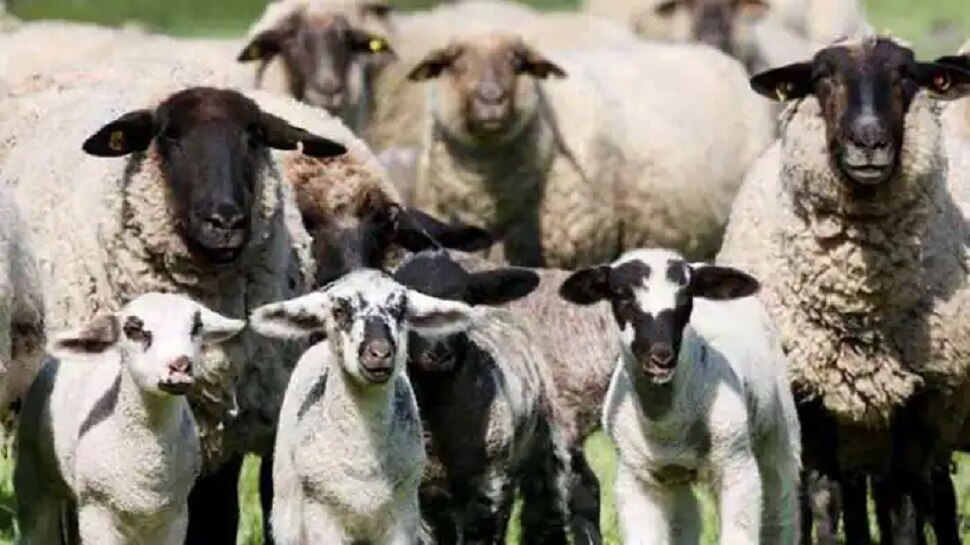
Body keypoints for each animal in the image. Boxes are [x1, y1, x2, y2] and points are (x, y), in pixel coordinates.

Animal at [15, 293, 245, 545]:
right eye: (133, 329)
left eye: (196, 327)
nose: (181, 366)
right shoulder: (98, 513)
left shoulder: (174, 517)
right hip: (33, 478)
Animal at [249, 268, 478, 545]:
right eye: (339, 310)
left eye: (400, 310)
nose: (379, 353)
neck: (363, 460)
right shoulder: (321, 515)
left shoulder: (402, 516)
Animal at [392, 251, 572, 544]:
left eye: (464, 299)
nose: (438, 353)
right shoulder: (421, 491)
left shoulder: (487, 481)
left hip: (542, 446)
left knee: (544, 513)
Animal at [559, 248, 801, 544]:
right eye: (622, 295)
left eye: (686, 297)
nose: (661, 357)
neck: (667, 424)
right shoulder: (636, 477)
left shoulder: (737, 467)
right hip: (674, 476)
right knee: (685, 521)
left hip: (778, 431)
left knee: (781, 510)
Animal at [716, 37, 970, 543]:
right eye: (823, 78)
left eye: (905, 75)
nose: (869, 141)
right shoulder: (806, 394)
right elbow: (816, 497)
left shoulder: (920, 398)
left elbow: (904, 504)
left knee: (929, 495)